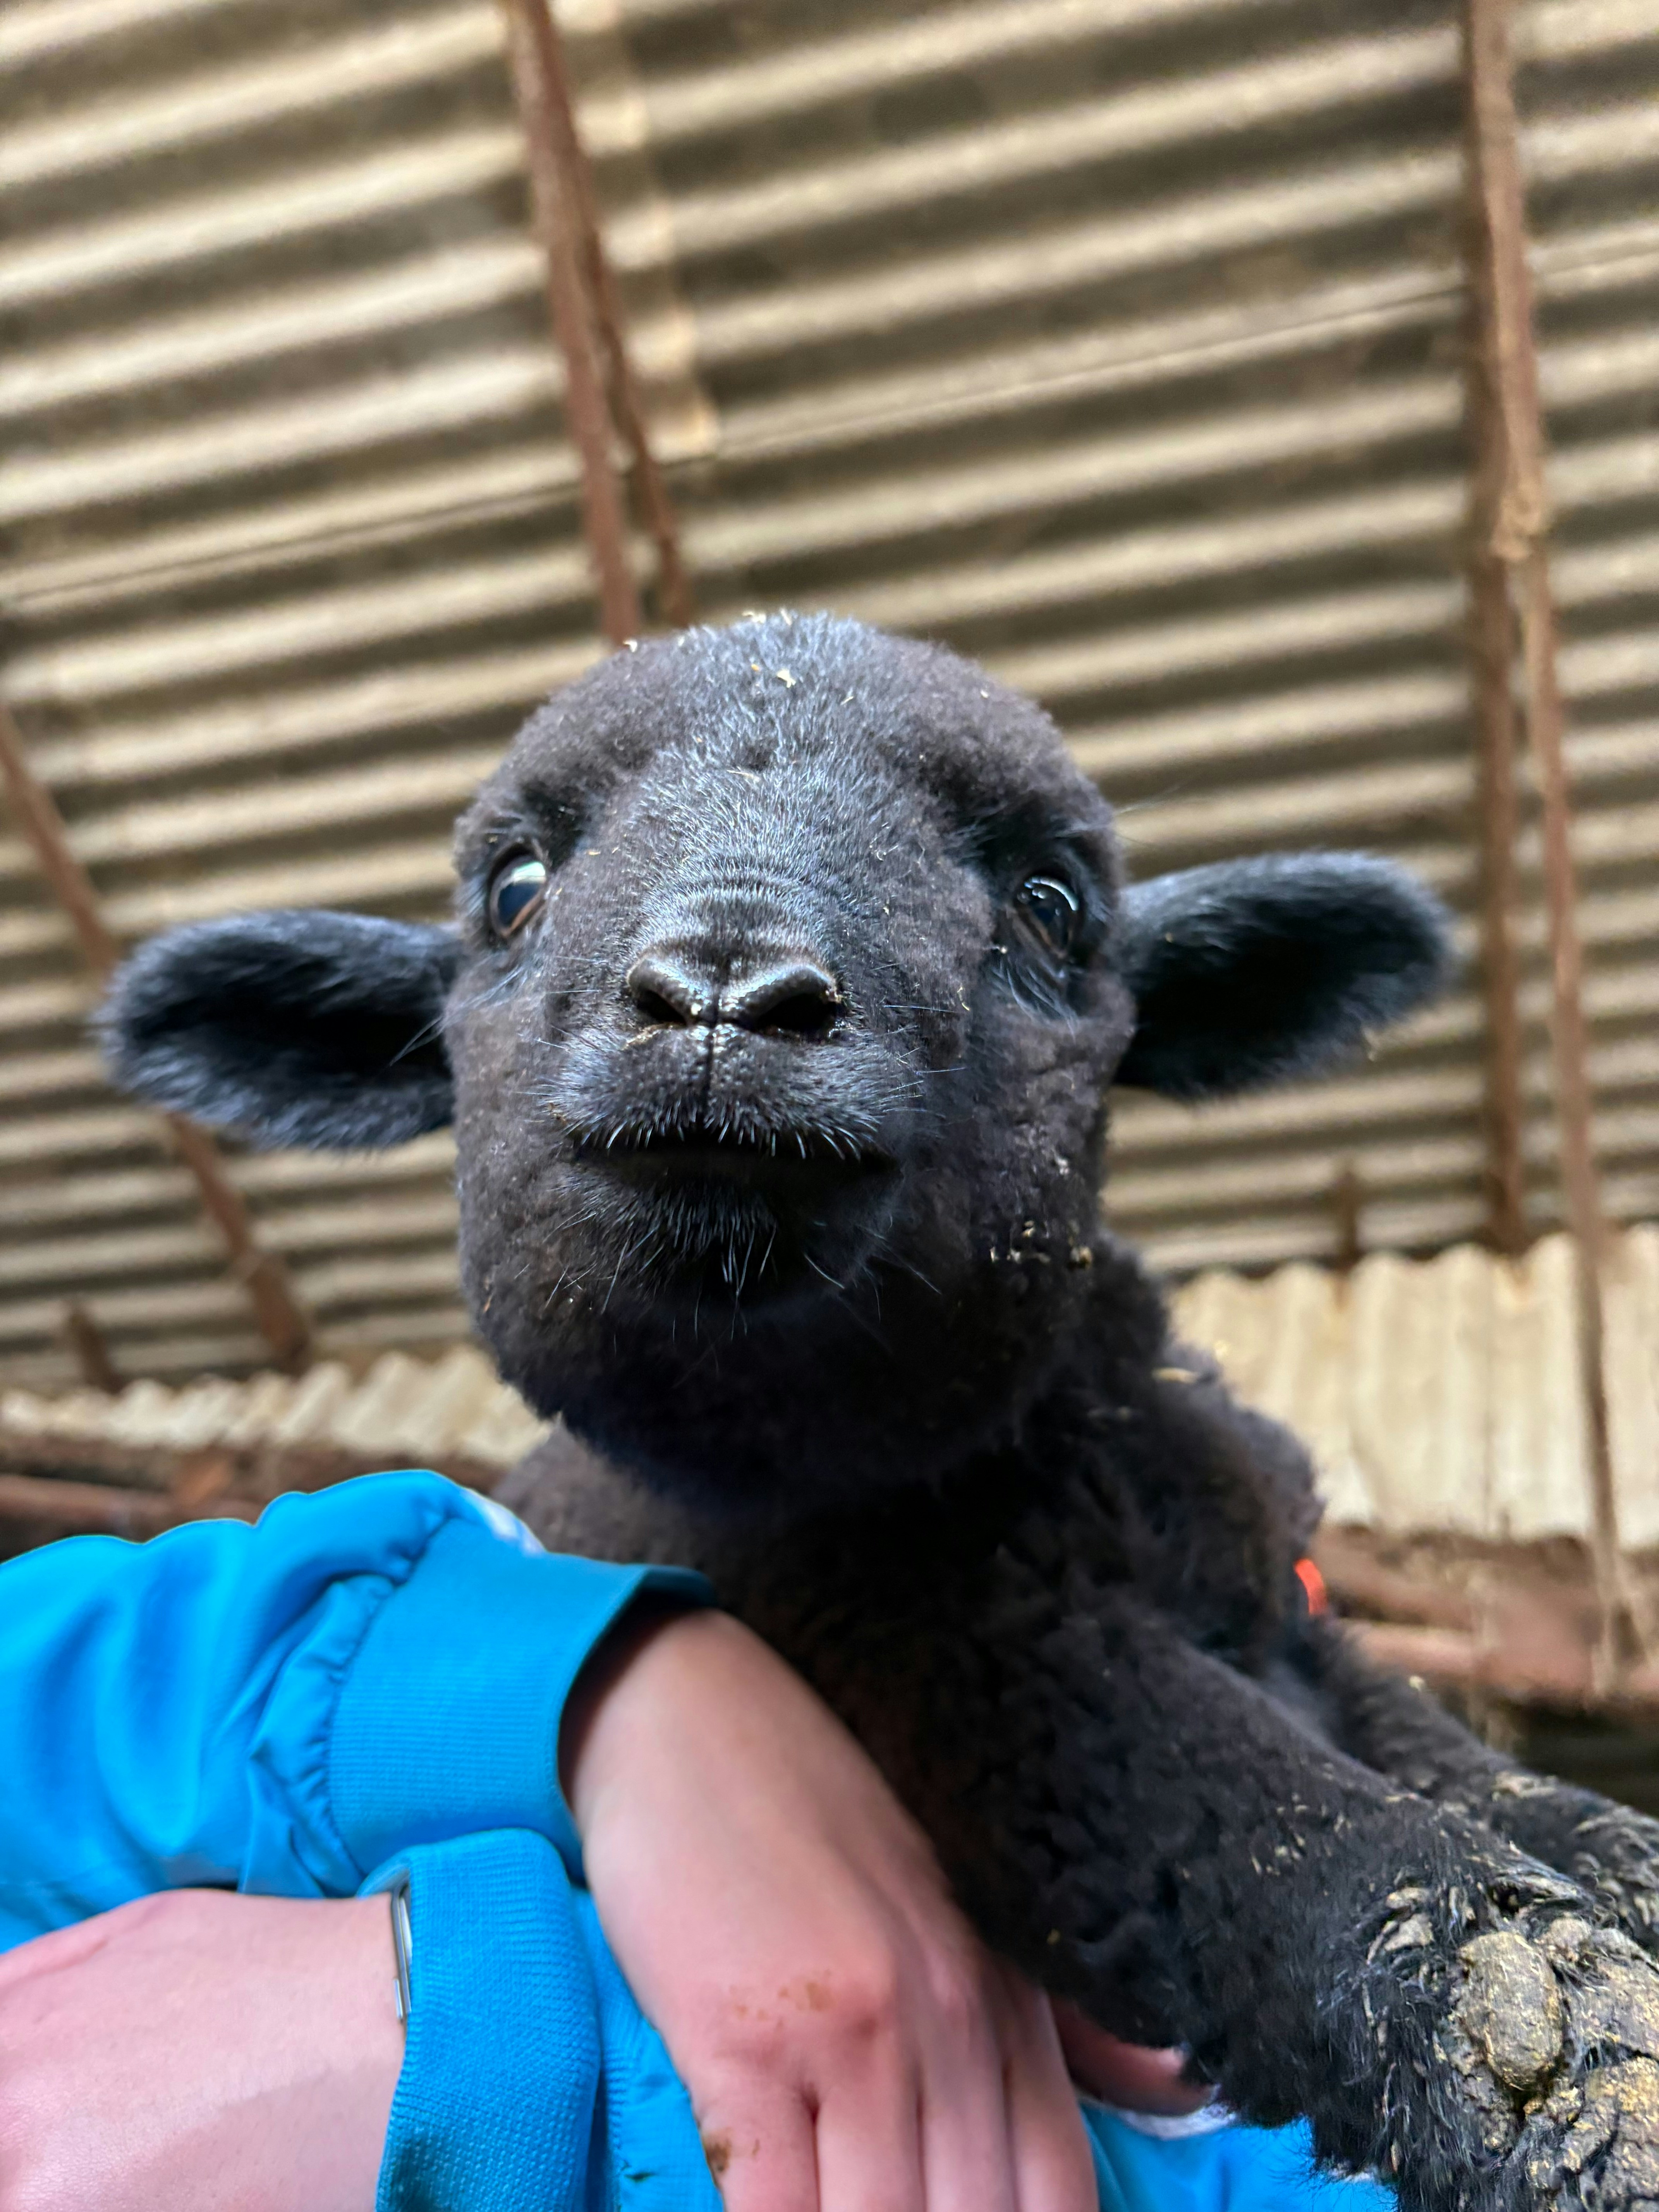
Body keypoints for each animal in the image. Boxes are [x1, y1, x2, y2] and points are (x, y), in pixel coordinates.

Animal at [103, 613, 1659, 2211]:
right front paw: (1553, 2062)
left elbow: (1484, 1775)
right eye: (513, 889)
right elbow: (1253, 1815)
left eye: (1051, 904)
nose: (722, 1001)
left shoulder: (1277, 1609)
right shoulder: (956, 1668)